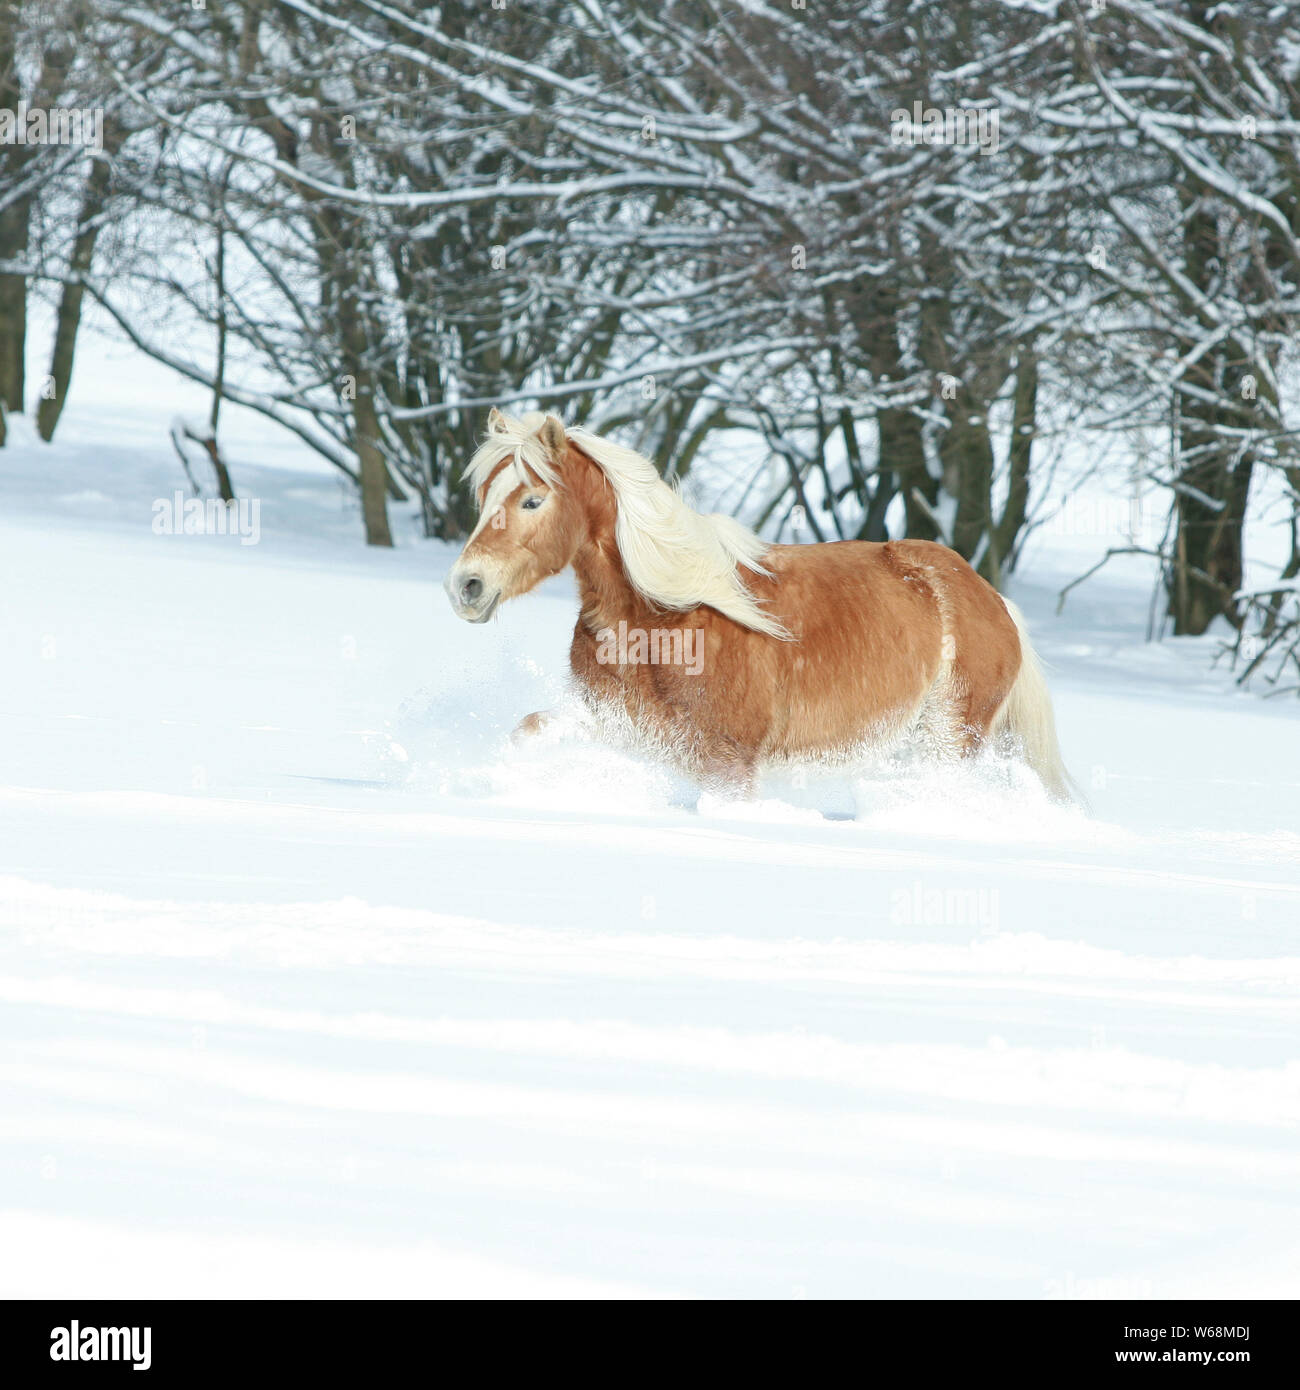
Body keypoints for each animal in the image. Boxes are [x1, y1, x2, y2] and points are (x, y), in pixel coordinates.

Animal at [444, 408, 1073, 802]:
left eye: (532, 499)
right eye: (484, 495)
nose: (466, 586)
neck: (666, 617)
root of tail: (989, 596)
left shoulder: (728, 762)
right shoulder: (623, 728)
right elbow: (528, 730)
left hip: (947, 740)